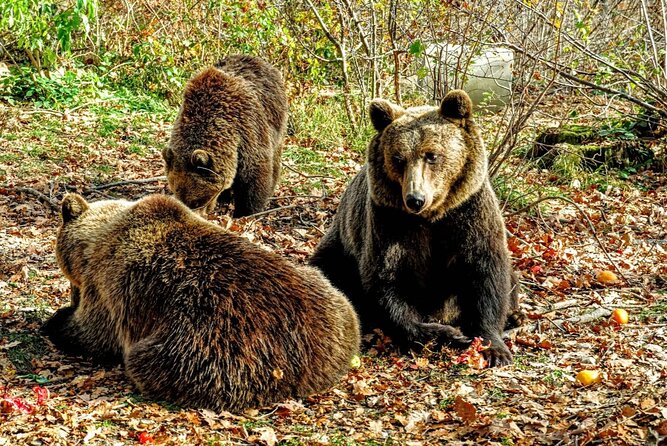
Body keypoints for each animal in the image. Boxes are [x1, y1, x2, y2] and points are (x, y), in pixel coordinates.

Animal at [42, 193, 360, 412]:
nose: (71, 295)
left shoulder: (111, 289)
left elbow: (95, 332)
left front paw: (56, 322)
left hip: (209, 346)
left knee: (150, 362)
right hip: (332, 297)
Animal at [162, 55, 288, 217]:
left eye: (196, 201)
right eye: (179, 196)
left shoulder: (248, 129)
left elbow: (254, 175)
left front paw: (245, 211)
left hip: (276, 120)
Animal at [310, 90, 521, 367]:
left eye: (431, 155)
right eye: (398, 158)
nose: (415, 199)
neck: (433, 216)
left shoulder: (469, 213)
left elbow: (486, 272)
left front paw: (493, 347)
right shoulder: (390, 222)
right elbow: (387, 280)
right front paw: (446, 333)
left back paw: (514, 315)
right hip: (340, 247)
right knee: (328, 273)